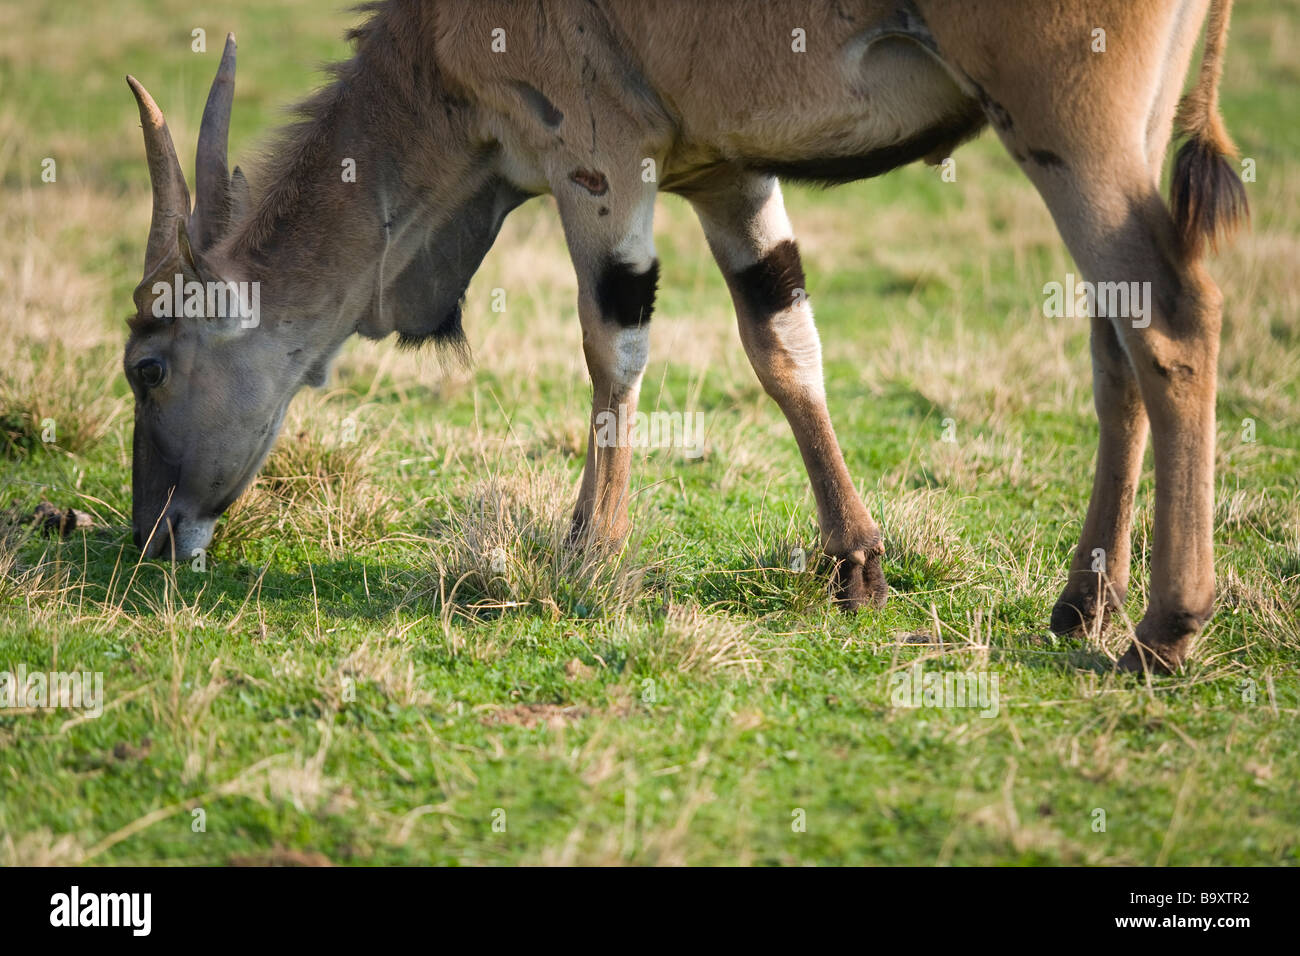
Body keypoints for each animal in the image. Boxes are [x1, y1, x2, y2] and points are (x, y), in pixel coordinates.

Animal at [124, 0, 1247, 673]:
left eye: (148, 366)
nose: (147, 537)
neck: (427, 55)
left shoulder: (596, 159)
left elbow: (613, 348)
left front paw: (587, 553)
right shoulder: (728, 177)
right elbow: (784, 347)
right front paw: (854, 563)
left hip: (1068, 130)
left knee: (1173, 322)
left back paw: (1162, 629)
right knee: (1113, 350)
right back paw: (1082, 603)